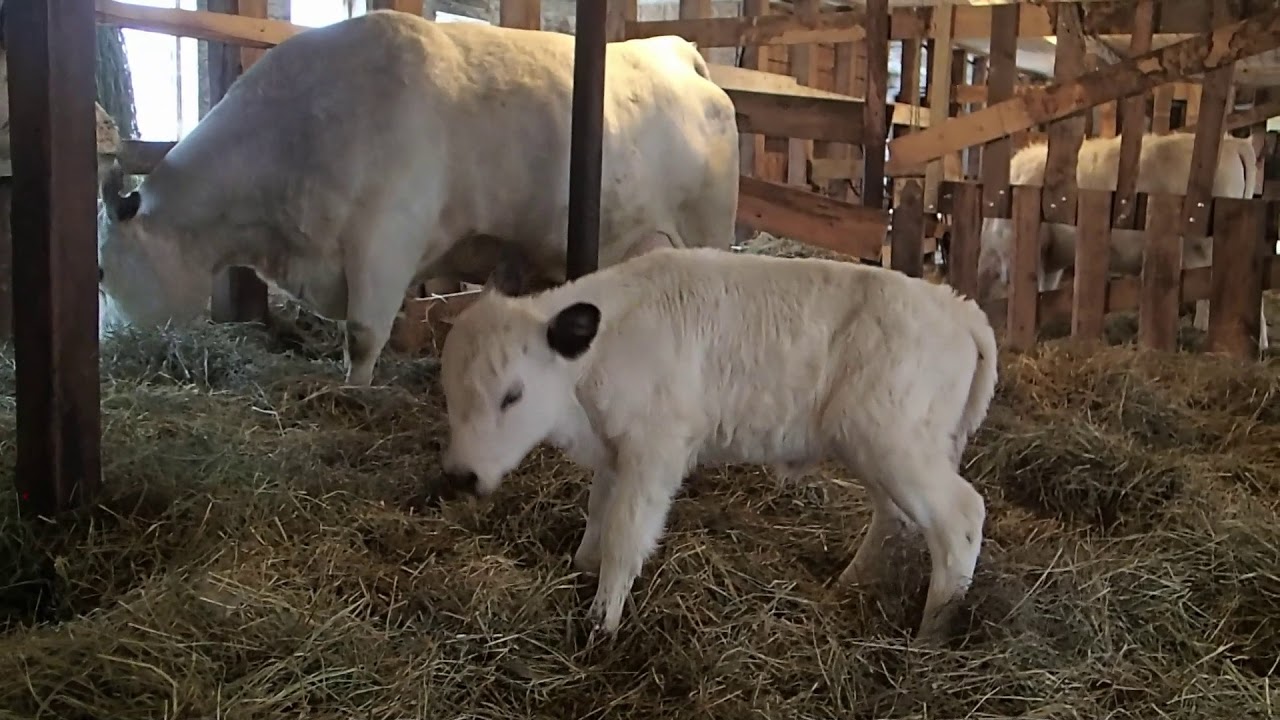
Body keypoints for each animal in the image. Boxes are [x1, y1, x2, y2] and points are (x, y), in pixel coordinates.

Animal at [96, 11, 741, 385]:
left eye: (100, 272)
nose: (118, 345)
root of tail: (676, 50)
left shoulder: (385, 239)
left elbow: (363, 335)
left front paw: (352, 397)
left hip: (707, 229)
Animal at [437, 243, 999, 642]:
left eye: (513, 393)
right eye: (450, 393)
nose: (461, 476)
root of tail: (958, 307)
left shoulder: (655, 454)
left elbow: (625, 536)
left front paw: (601, 624)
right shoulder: (615, 454)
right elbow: (598, 515)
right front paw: (581, 569)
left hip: (898, 449)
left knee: (960, 518)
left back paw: (931, 634)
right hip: (881, 452)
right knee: (896, 519)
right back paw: (849, 585)